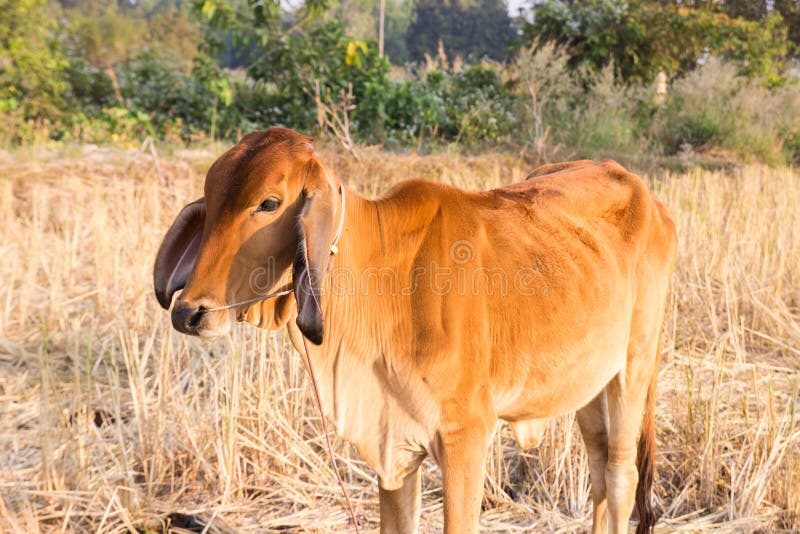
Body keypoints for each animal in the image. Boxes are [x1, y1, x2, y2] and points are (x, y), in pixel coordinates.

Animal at [154, 127, 677, 534]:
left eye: (268, 203)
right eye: (212, 197)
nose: (189, 312)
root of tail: (649, 195)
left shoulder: (467, 436)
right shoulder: (393, 446)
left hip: (634, 367)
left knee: (621, 477)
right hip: (588, 384)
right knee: (599, 472)